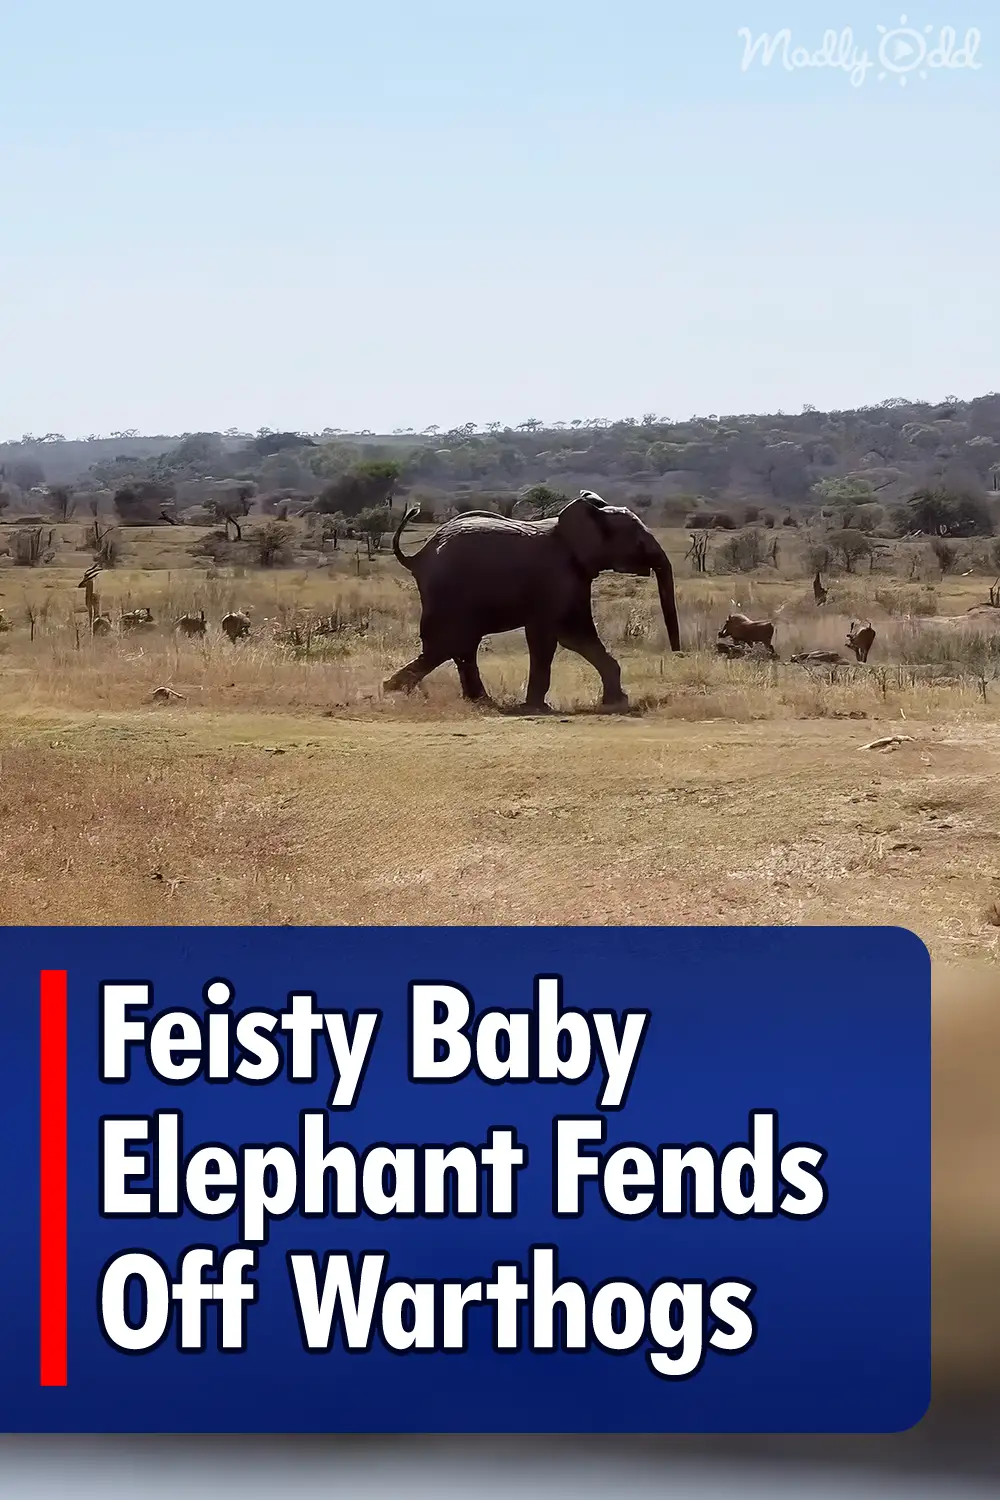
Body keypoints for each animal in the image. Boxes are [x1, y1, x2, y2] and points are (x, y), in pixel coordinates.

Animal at [383, 489, 681, 712]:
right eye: (639, 541)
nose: (677, 653)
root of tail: (417, 556)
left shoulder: (575, 576)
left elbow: (576, 636)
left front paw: (616, 703)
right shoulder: (557, 576)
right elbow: (554, 635)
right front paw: (537, 708)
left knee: (456, 646)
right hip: (449, 593)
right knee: (449, 644)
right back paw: (393, 692)